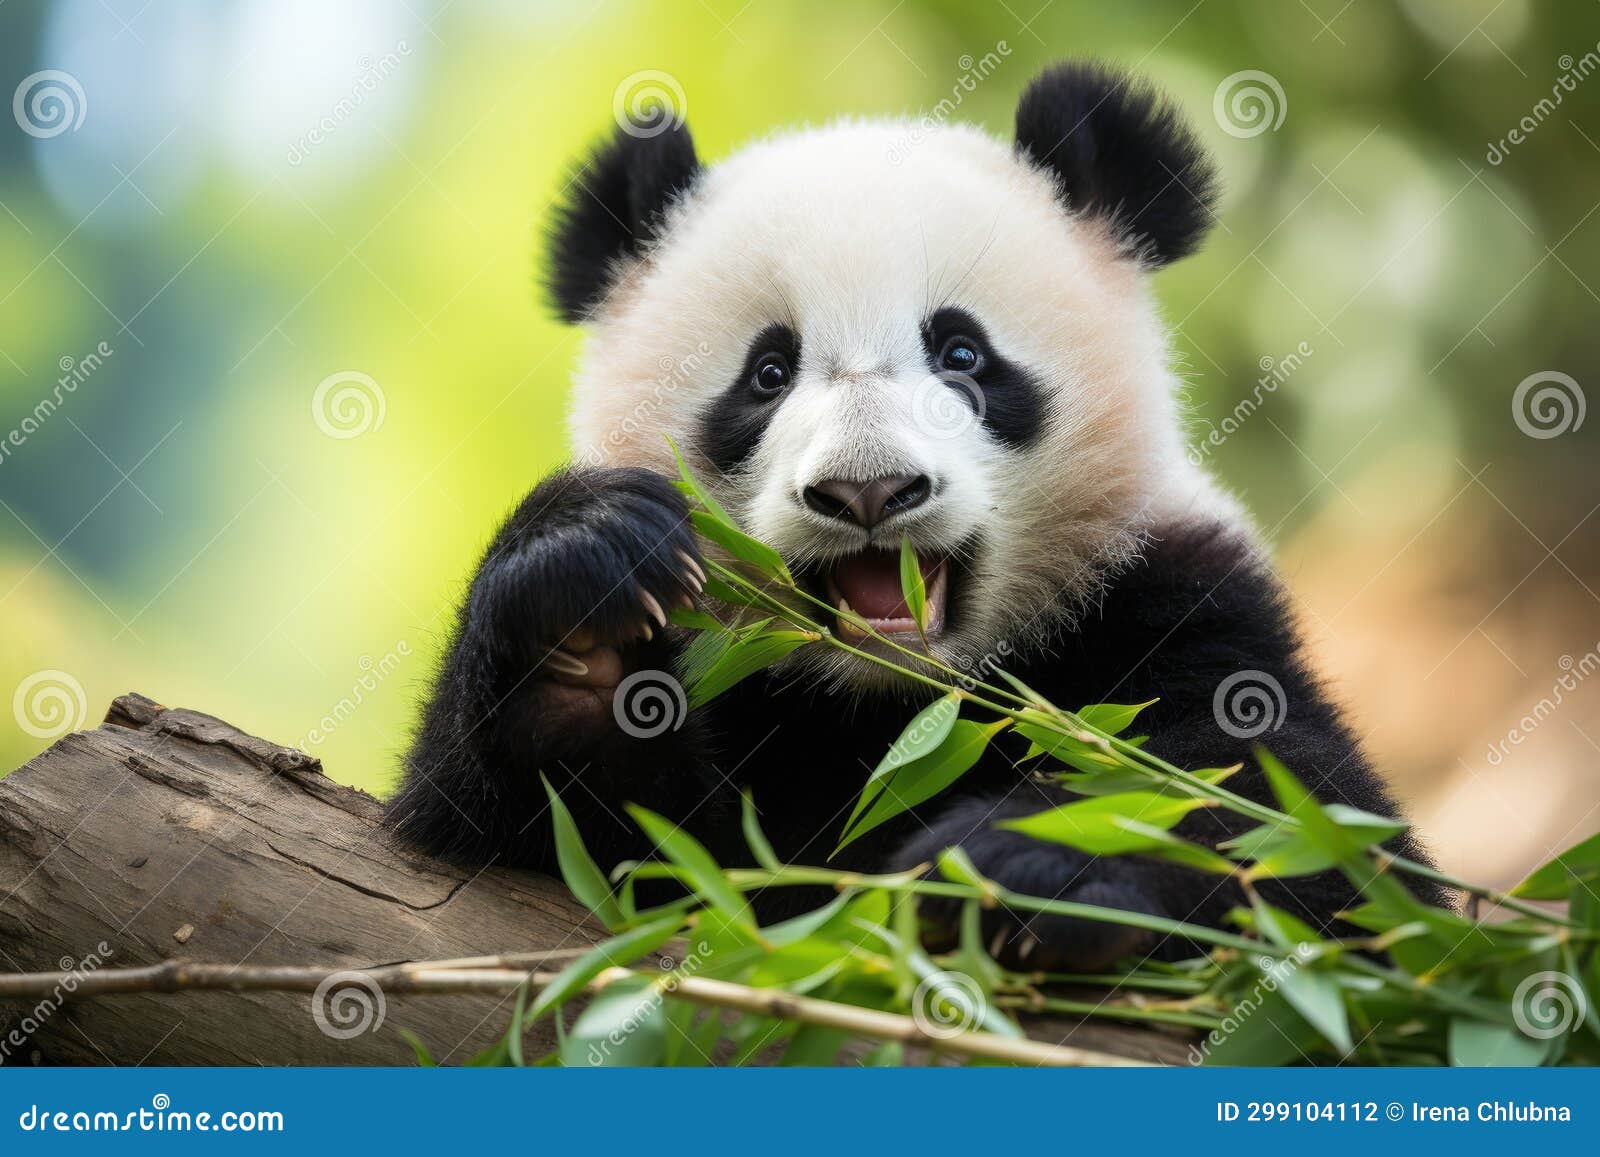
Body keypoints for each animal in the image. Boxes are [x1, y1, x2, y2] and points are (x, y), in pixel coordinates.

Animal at [387, 60, 1445, 971]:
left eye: (963, 354)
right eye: (768, 373)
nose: (868, 492)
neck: (898, 709)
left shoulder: (1174, 594)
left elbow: (1306, 833)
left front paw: (1026, 863)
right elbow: (539, 844)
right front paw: (578, 617)